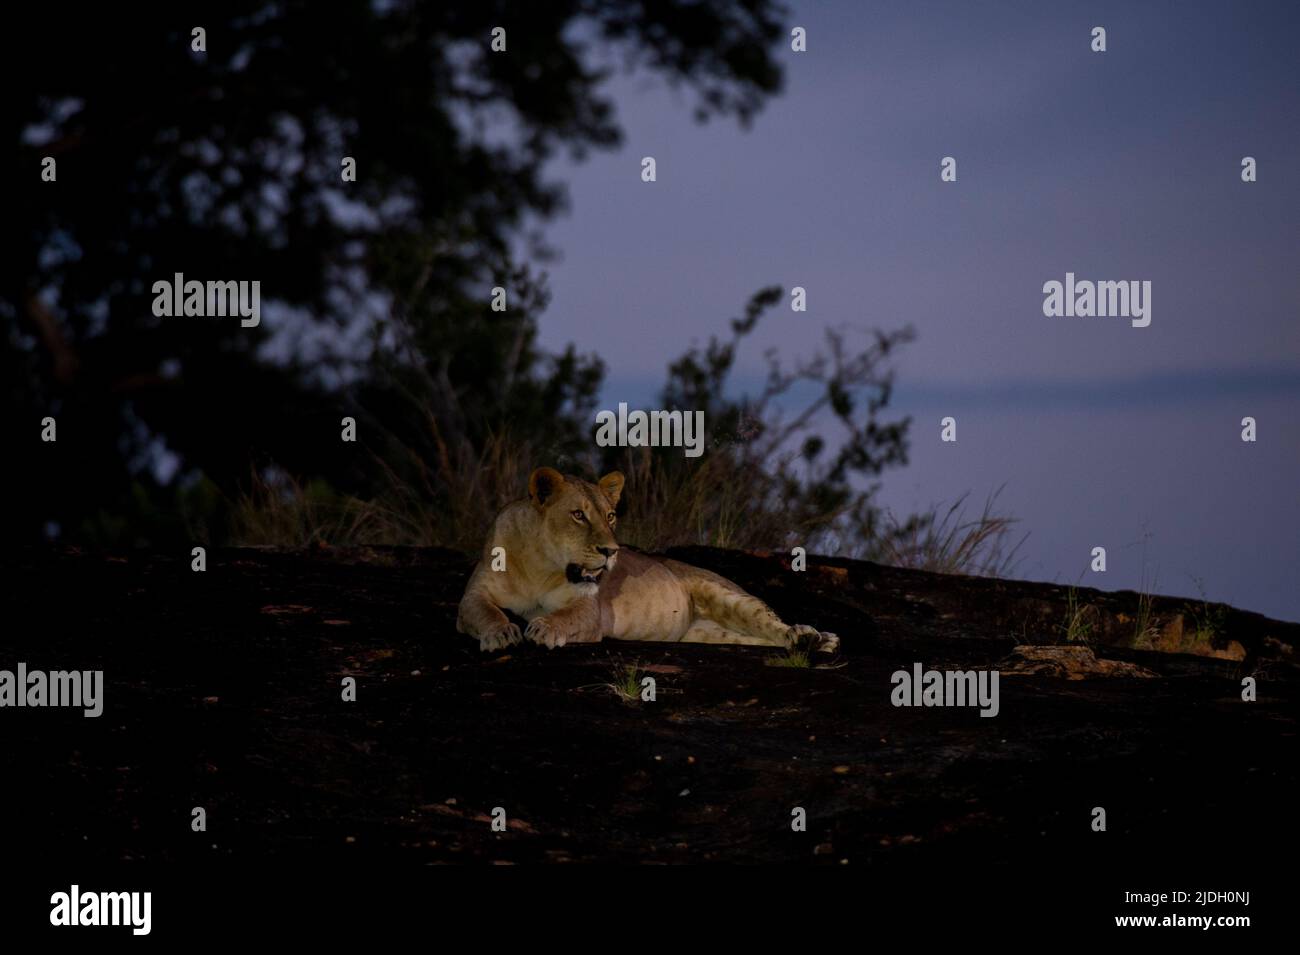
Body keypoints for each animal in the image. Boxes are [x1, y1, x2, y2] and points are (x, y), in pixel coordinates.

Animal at [456, 467, 840, 654]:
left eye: (610, 516)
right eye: (578, 515)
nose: (611, 551)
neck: (542, 564)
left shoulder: (589, 609)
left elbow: (565, 617)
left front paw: (543, 628)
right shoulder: (473, 595)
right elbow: (485, 612)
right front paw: (502, 633)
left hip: (728, 596)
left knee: (774, 623)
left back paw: (813, 638)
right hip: (709, 635)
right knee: (760, 639)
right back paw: (811, 641)